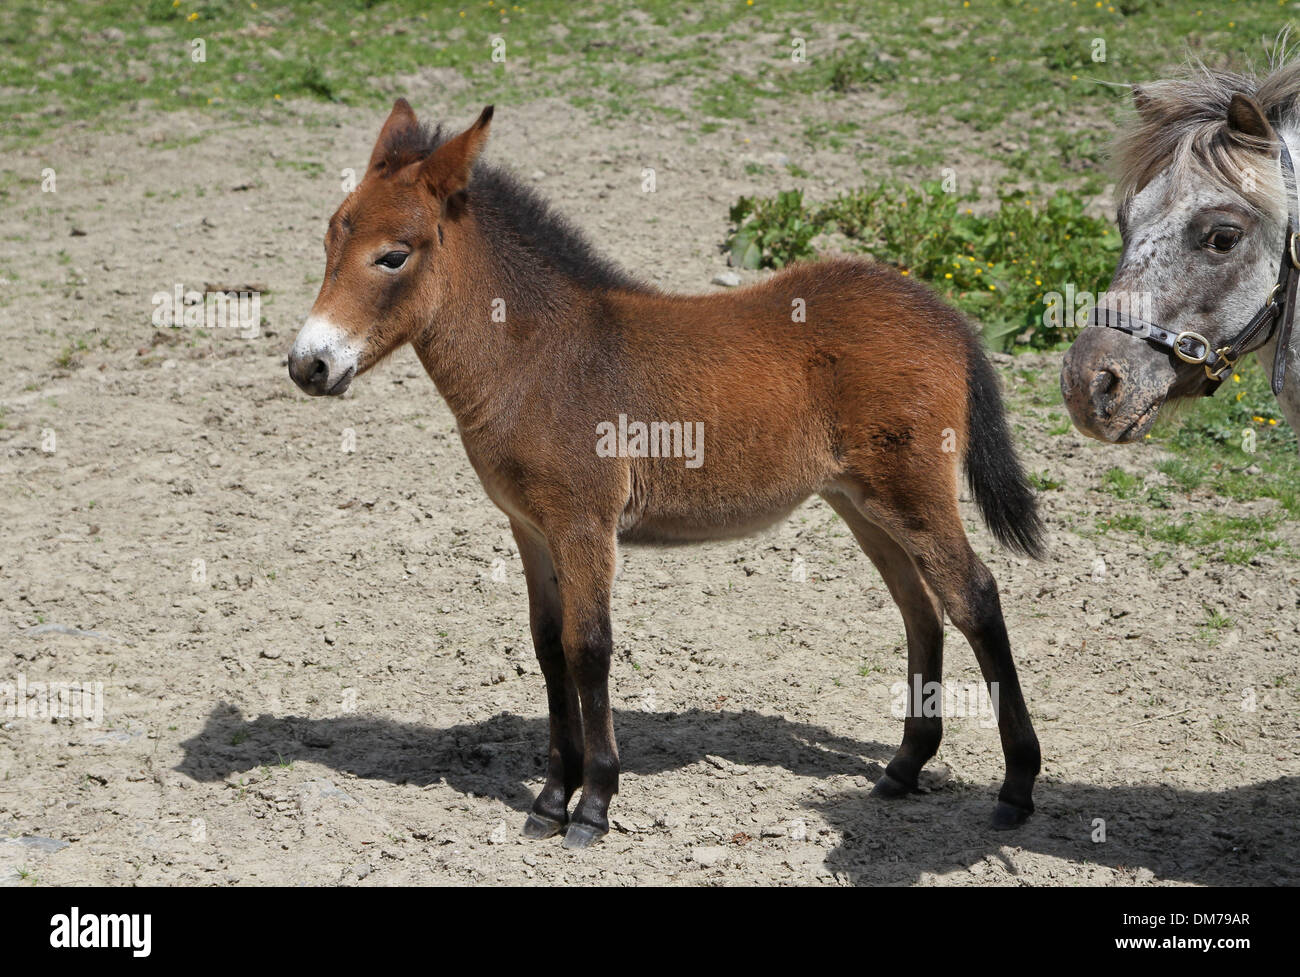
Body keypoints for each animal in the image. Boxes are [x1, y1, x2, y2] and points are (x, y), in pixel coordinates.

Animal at [288, 100, 1046, 849]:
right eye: (328, 240)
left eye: (393, 255)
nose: (309, 364)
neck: (537, 356)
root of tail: (946, 315)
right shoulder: (530, 528)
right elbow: (547, 648)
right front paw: (550, 800)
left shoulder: (585, 524)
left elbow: (588, 648)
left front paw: (593, 804)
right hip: (860, 501)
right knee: (922, 609)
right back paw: (903, 767)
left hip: (911, 492)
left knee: (974, 597)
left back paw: (1016, 788)